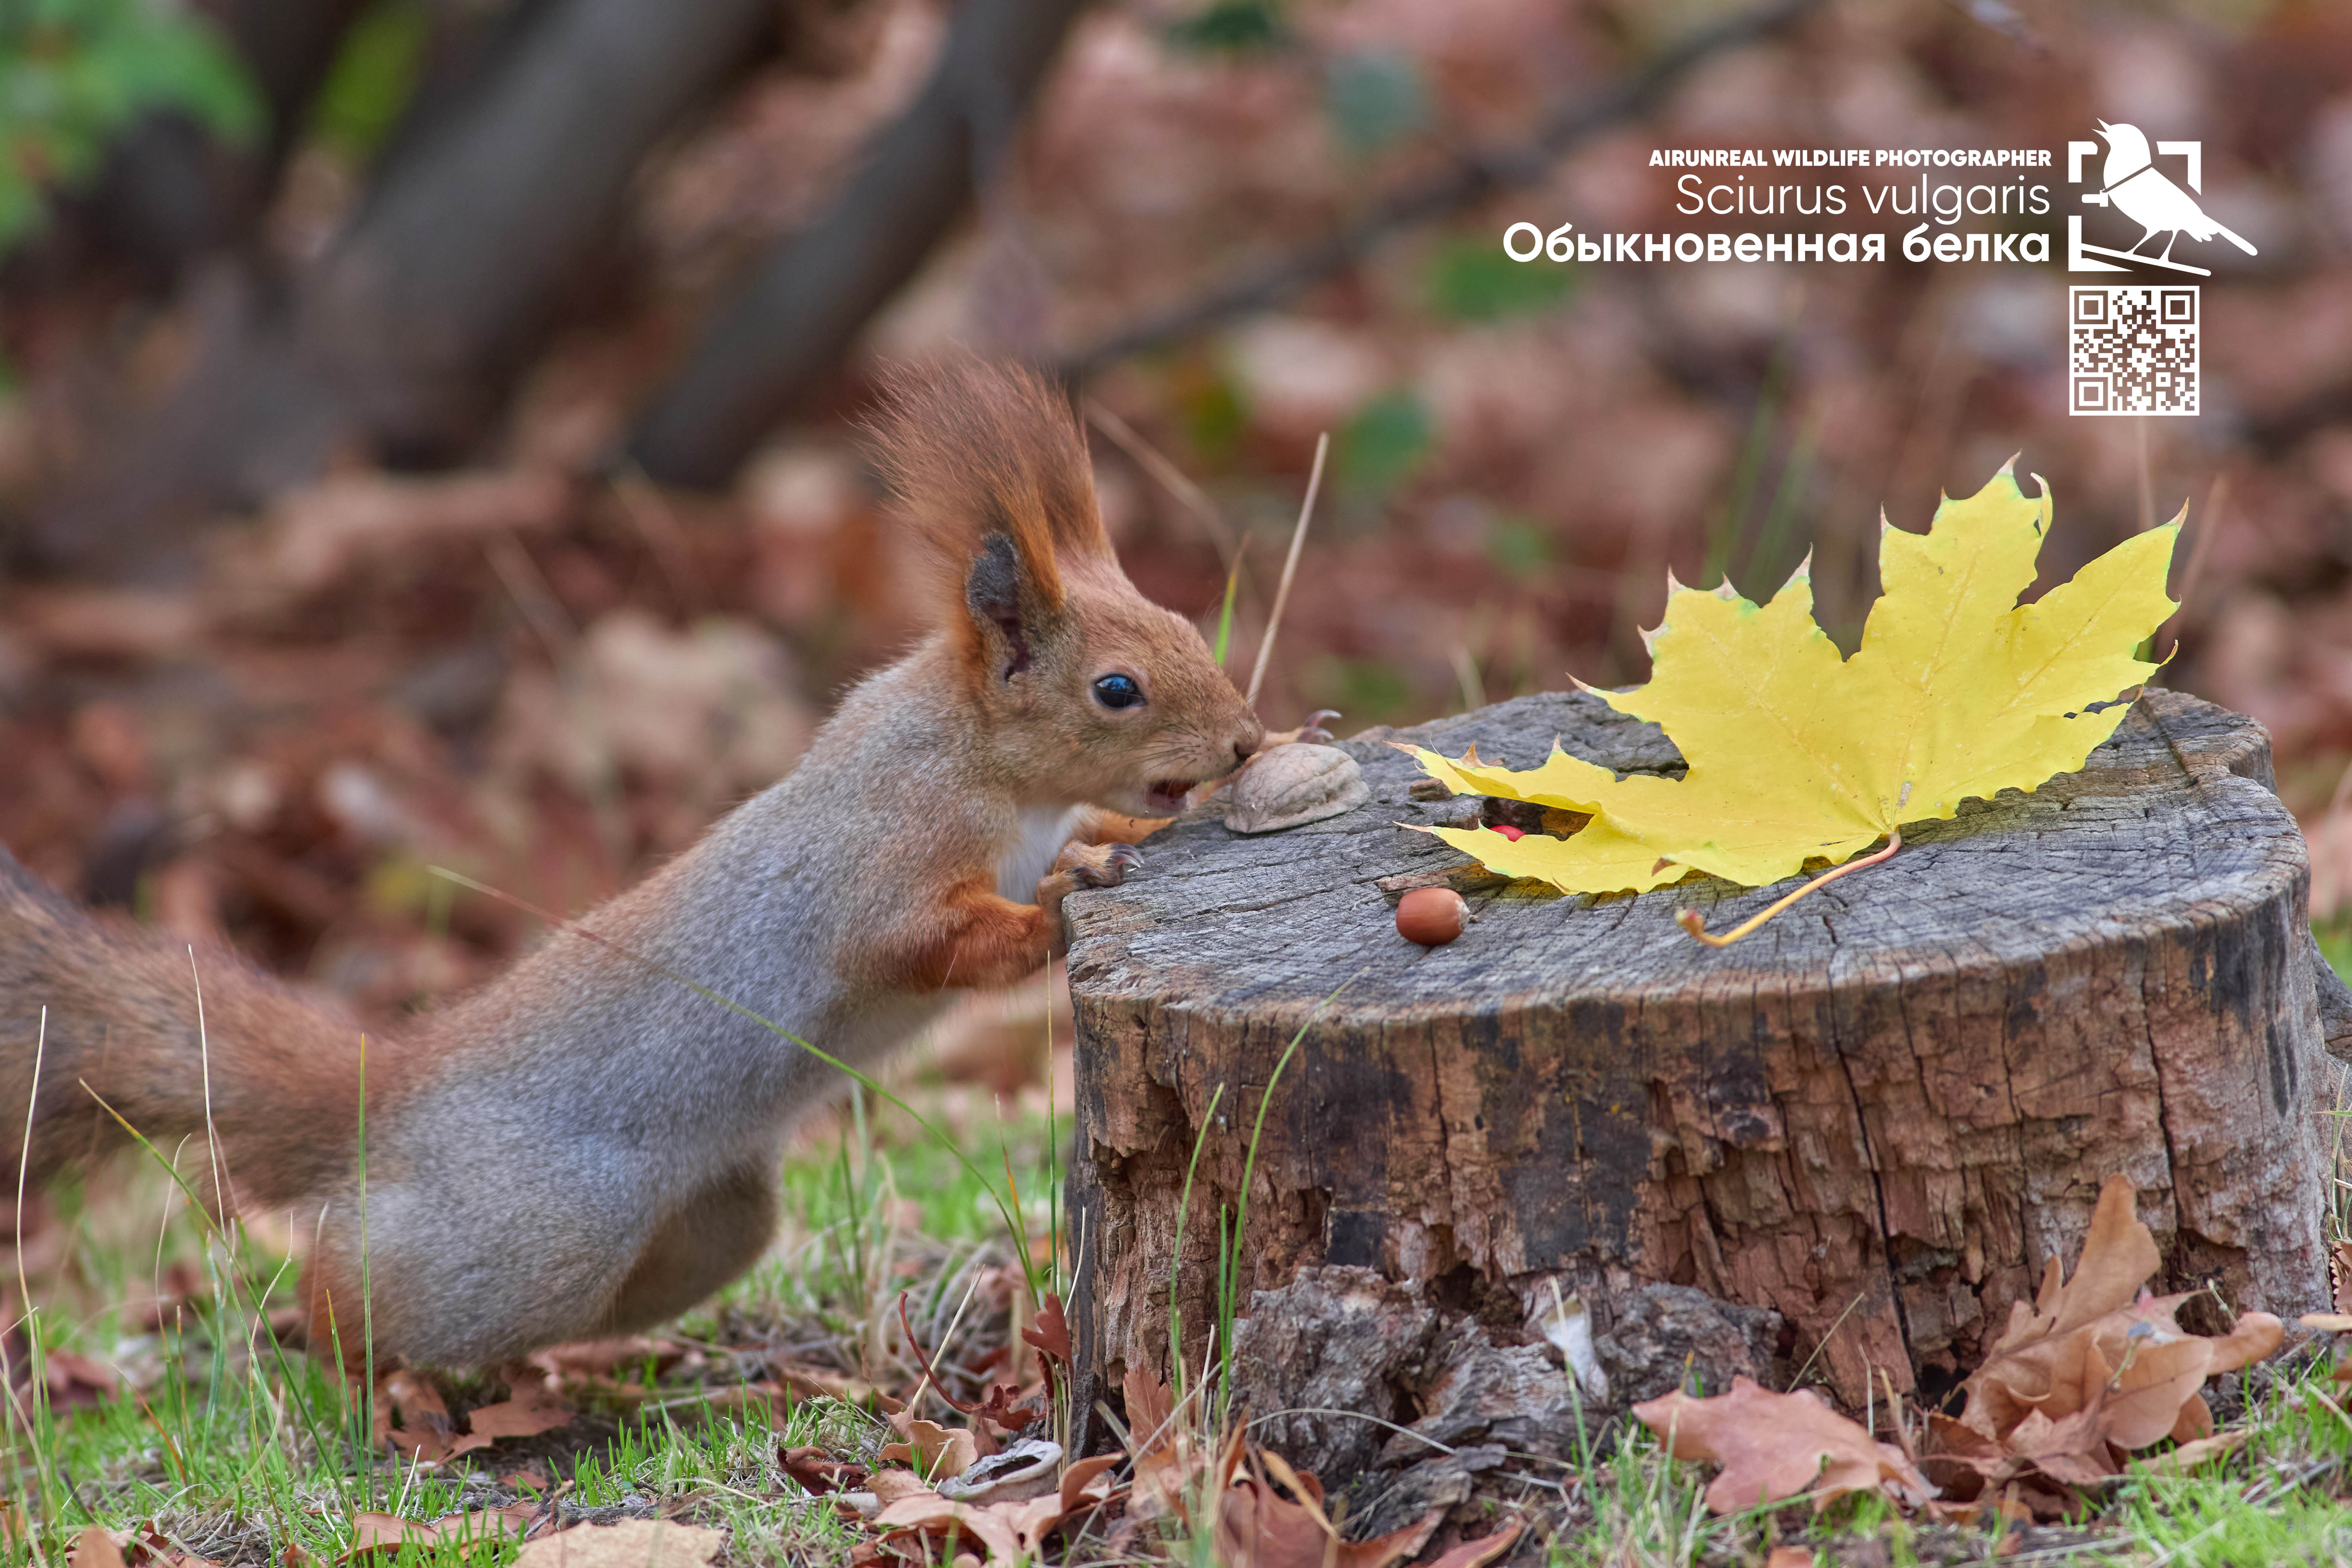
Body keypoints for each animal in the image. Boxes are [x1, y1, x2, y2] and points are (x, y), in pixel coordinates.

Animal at [0, 362, 1279, 1363]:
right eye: (1116, 688)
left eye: (1182, 620)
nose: (1244, 743)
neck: (982, 765)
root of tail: (394, 1090)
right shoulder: (879, 854)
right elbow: (919, 940)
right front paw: (1062, 901)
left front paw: (1122, 840)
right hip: (539, 1236)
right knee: (354, 1292)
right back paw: (342, 1360)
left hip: (712, 1227)